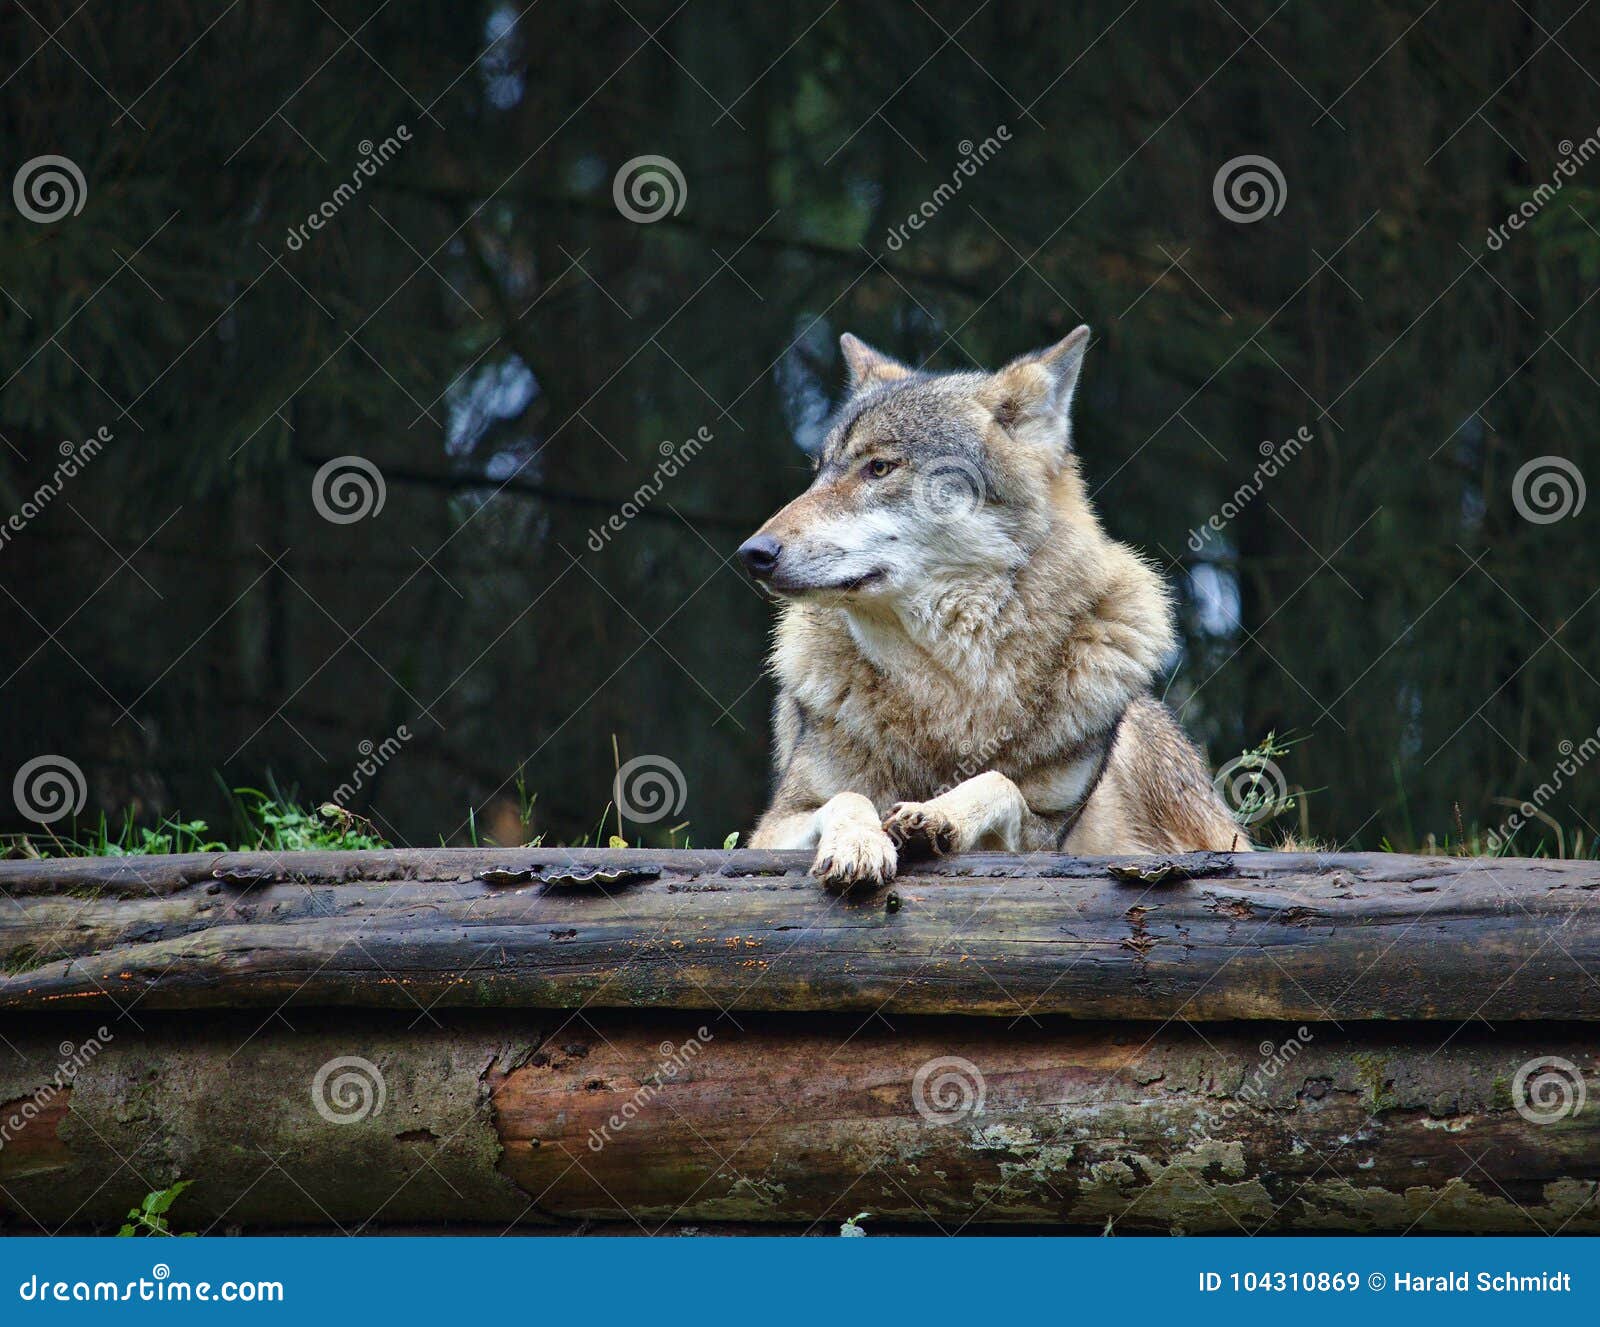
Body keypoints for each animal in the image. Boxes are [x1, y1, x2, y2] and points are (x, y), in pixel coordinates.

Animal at [738, 326, 1247, 889]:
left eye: (879, 467)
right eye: (818, 473)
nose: (752, 554)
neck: (950, 682)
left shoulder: (1051, 838)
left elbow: (997, 781)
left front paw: (937, 814)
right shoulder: (773, 825)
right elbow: (848, 797)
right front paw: (858, 844)